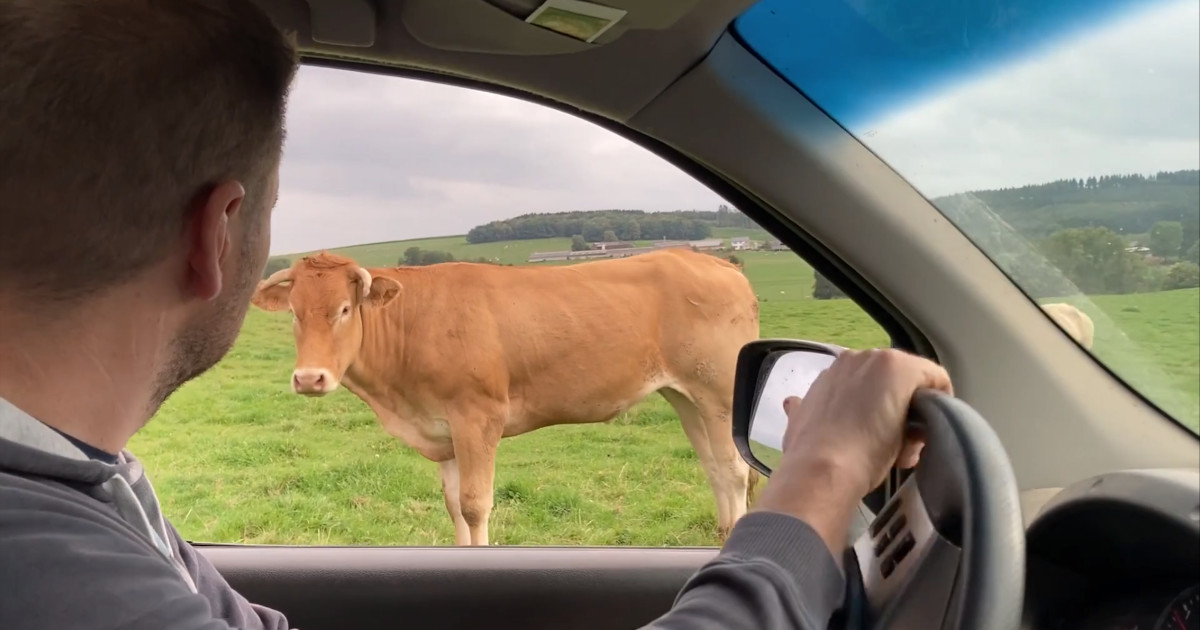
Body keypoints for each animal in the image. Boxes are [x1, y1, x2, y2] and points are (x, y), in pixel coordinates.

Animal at [251, 247, 762, 546]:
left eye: (343, 309)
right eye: (294, 312)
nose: (309, 378)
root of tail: (715, 262)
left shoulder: (477, 417)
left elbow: (476, 504)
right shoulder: (443, 431)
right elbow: (454, 505)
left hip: (718, 392)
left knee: (734, 470)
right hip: (685, 396)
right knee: (713, 467)